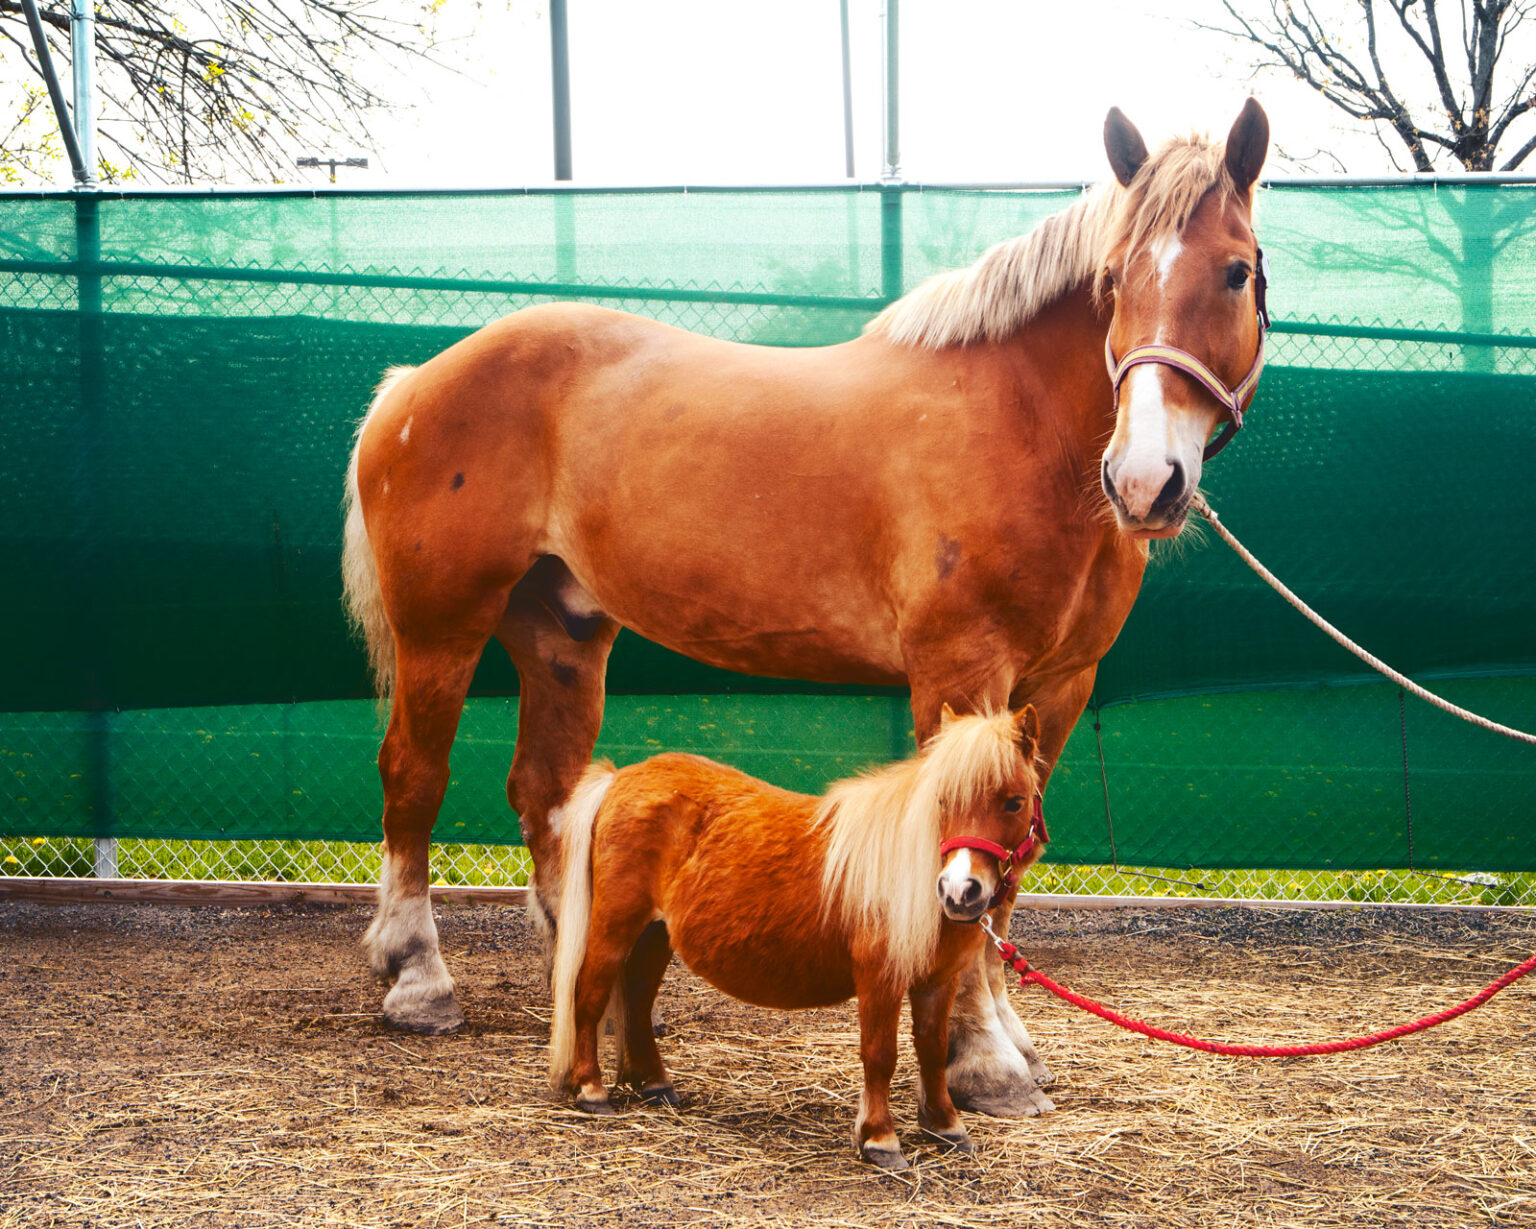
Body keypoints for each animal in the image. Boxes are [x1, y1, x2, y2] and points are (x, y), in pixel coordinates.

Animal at [341, 100, 1270, 1117]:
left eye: (1236, 270)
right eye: (1112, 278)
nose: (1146, 482)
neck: (1020, 426)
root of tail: (412, 383)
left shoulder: (1061, 686)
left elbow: (1011, 859)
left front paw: (1011, 1045)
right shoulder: (963, 671)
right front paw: (982, 1058)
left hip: (563, 631)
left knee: (545, 791)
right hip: (443, 626)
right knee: (412, 775)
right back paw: (418, 979)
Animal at [546, 706, 1045, 1171]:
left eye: (1014, 802)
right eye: (941, 800)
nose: (960, 891)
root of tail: (618, 779)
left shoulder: (937, 981)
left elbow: (933, 1050)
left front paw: (945, 1126)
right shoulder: (879, 980)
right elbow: (880, 1054)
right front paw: (880, 1140)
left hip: (654, 935)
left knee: (635, 998)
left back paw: (654, 1083)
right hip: (615, 925)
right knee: (588, 995)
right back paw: (591, 1090)